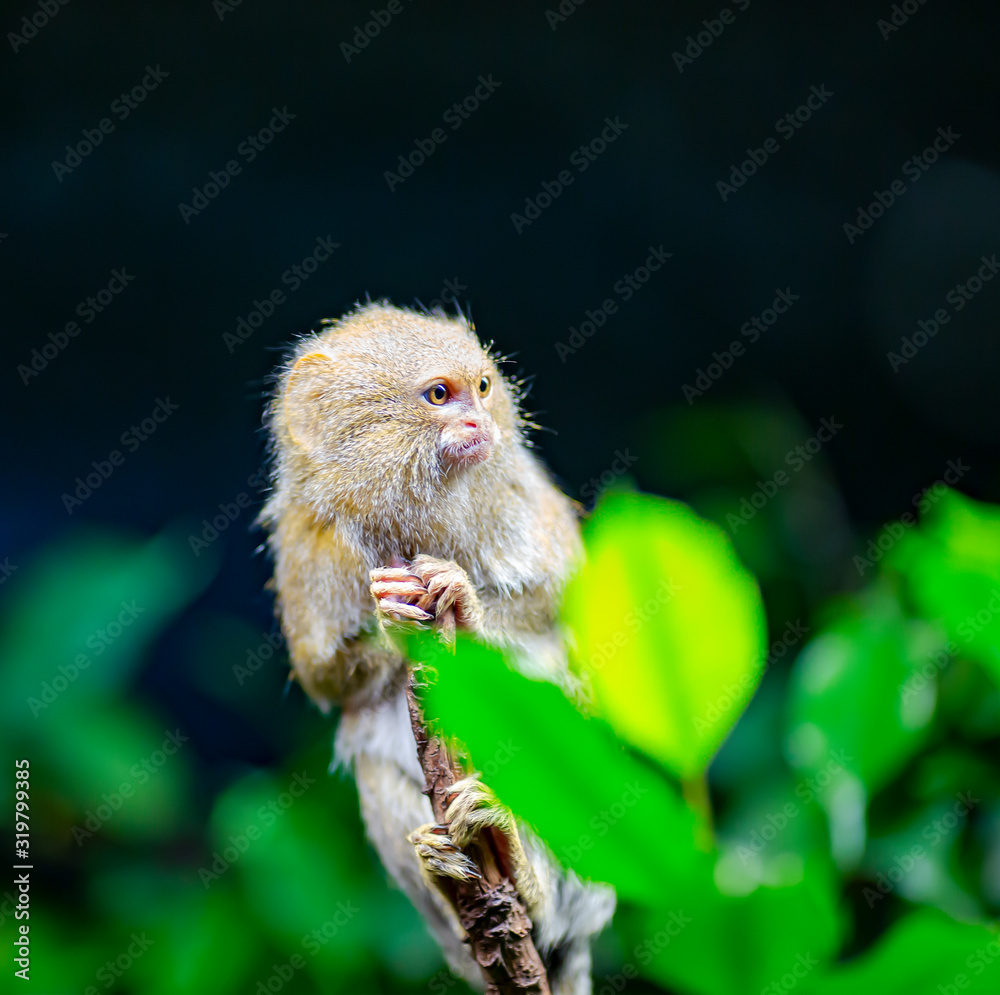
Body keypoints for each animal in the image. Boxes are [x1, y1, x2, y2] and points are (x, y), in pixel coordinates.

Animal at [259, 302, 614, 993]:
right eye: (439, 396)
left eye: (482, 387)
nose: (479, 421)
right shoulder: (310, 542)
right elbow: (327, 681)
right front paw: (386, 614)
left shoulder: (519, 502)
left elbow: (568, 616)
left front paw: (466, 603)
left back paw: (524, 878)